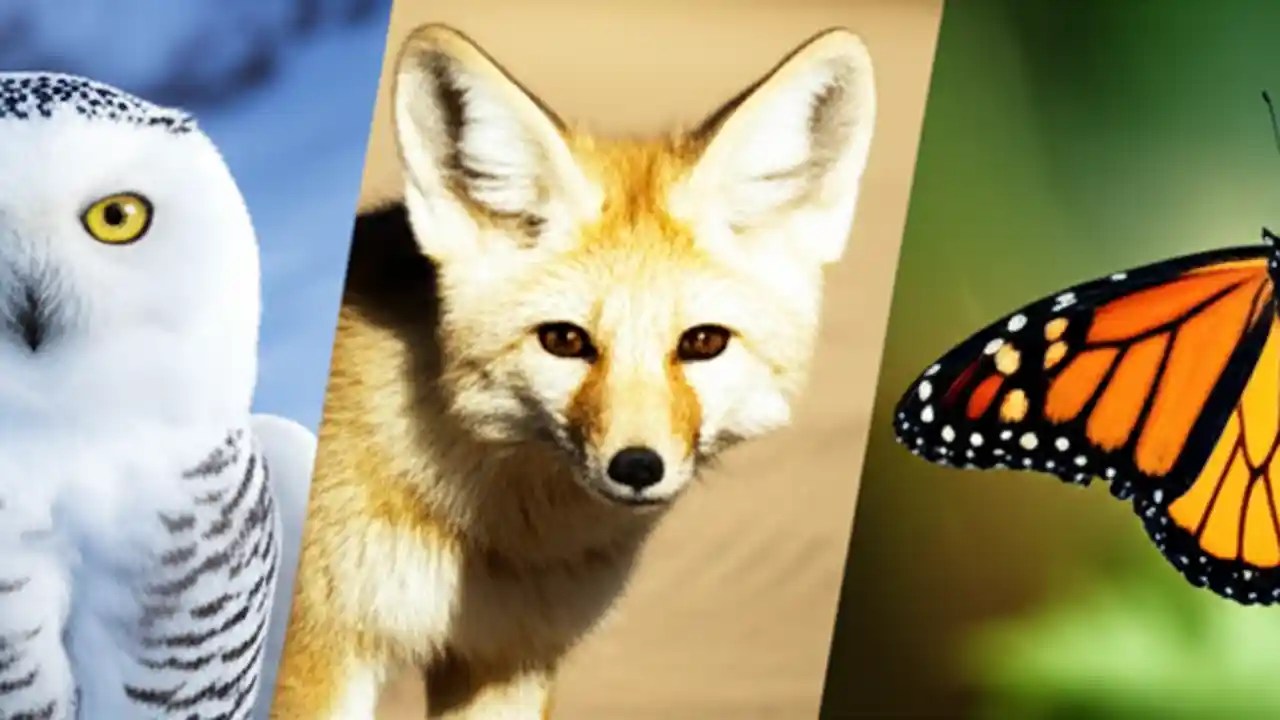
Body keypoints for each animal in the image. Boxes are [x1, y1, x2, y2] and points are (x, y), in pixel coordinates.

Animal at [269, 22, 877, 720]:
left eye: (703, 342)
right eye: (564, 340)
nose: (637, 467)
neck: (497, 543)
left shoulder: (508, 655)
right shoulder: (320, 655)